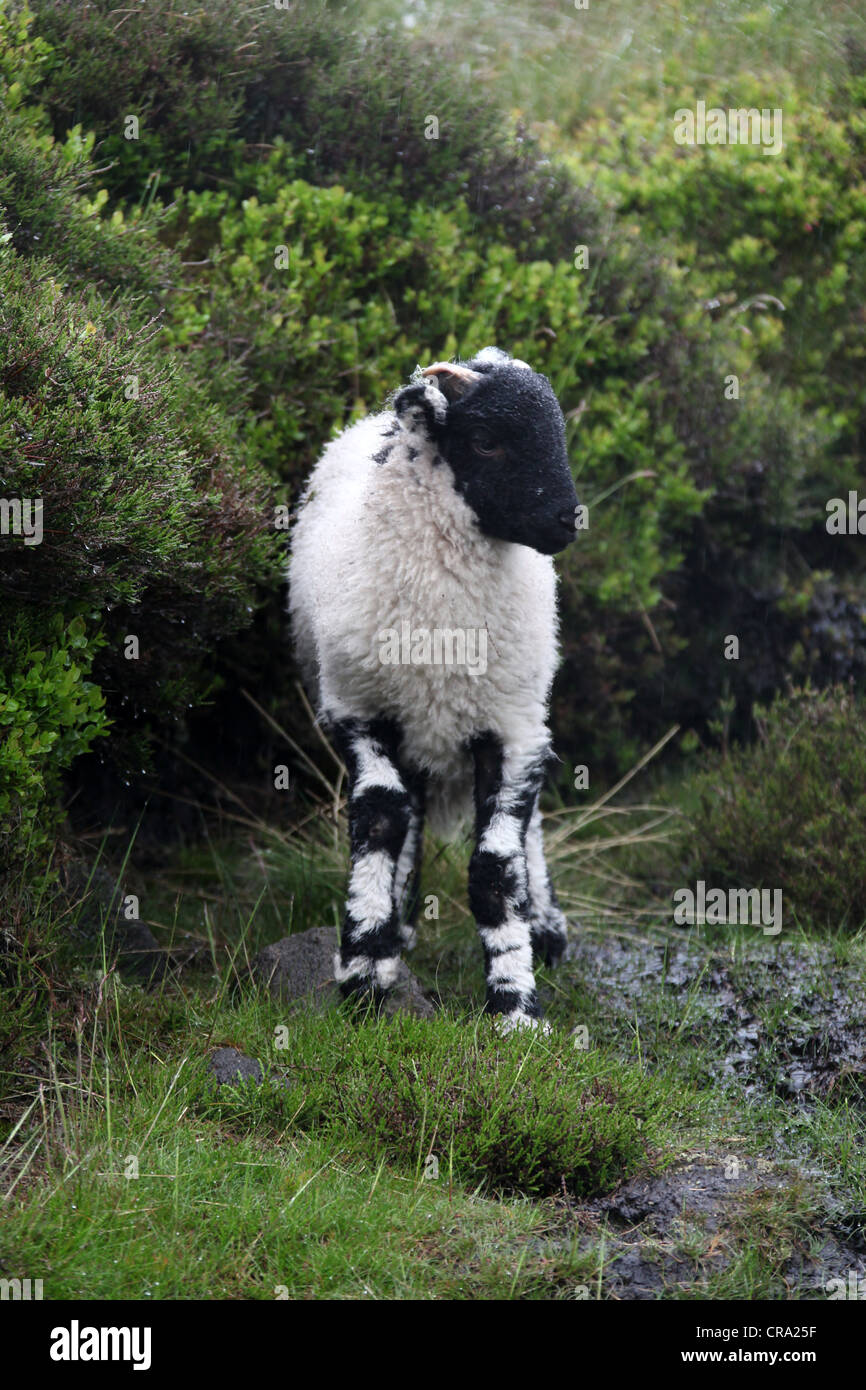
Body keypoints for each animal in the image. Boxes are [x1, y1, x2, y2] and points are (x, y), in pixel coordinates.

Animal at [288, 346, 579, 1028]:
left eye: (556, 430)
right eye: (485, 440)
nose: (567, 520)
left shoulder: (510, 729)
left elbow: (496, 868)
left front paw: (516, 1006)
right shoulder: (360, 714)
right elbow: (380, 821)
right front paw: (364, 969)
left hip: (522, 704)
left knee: (528, 826)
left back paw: (545, 926)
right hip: (406, 718)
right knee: (410, 808)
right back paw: (399, 929)